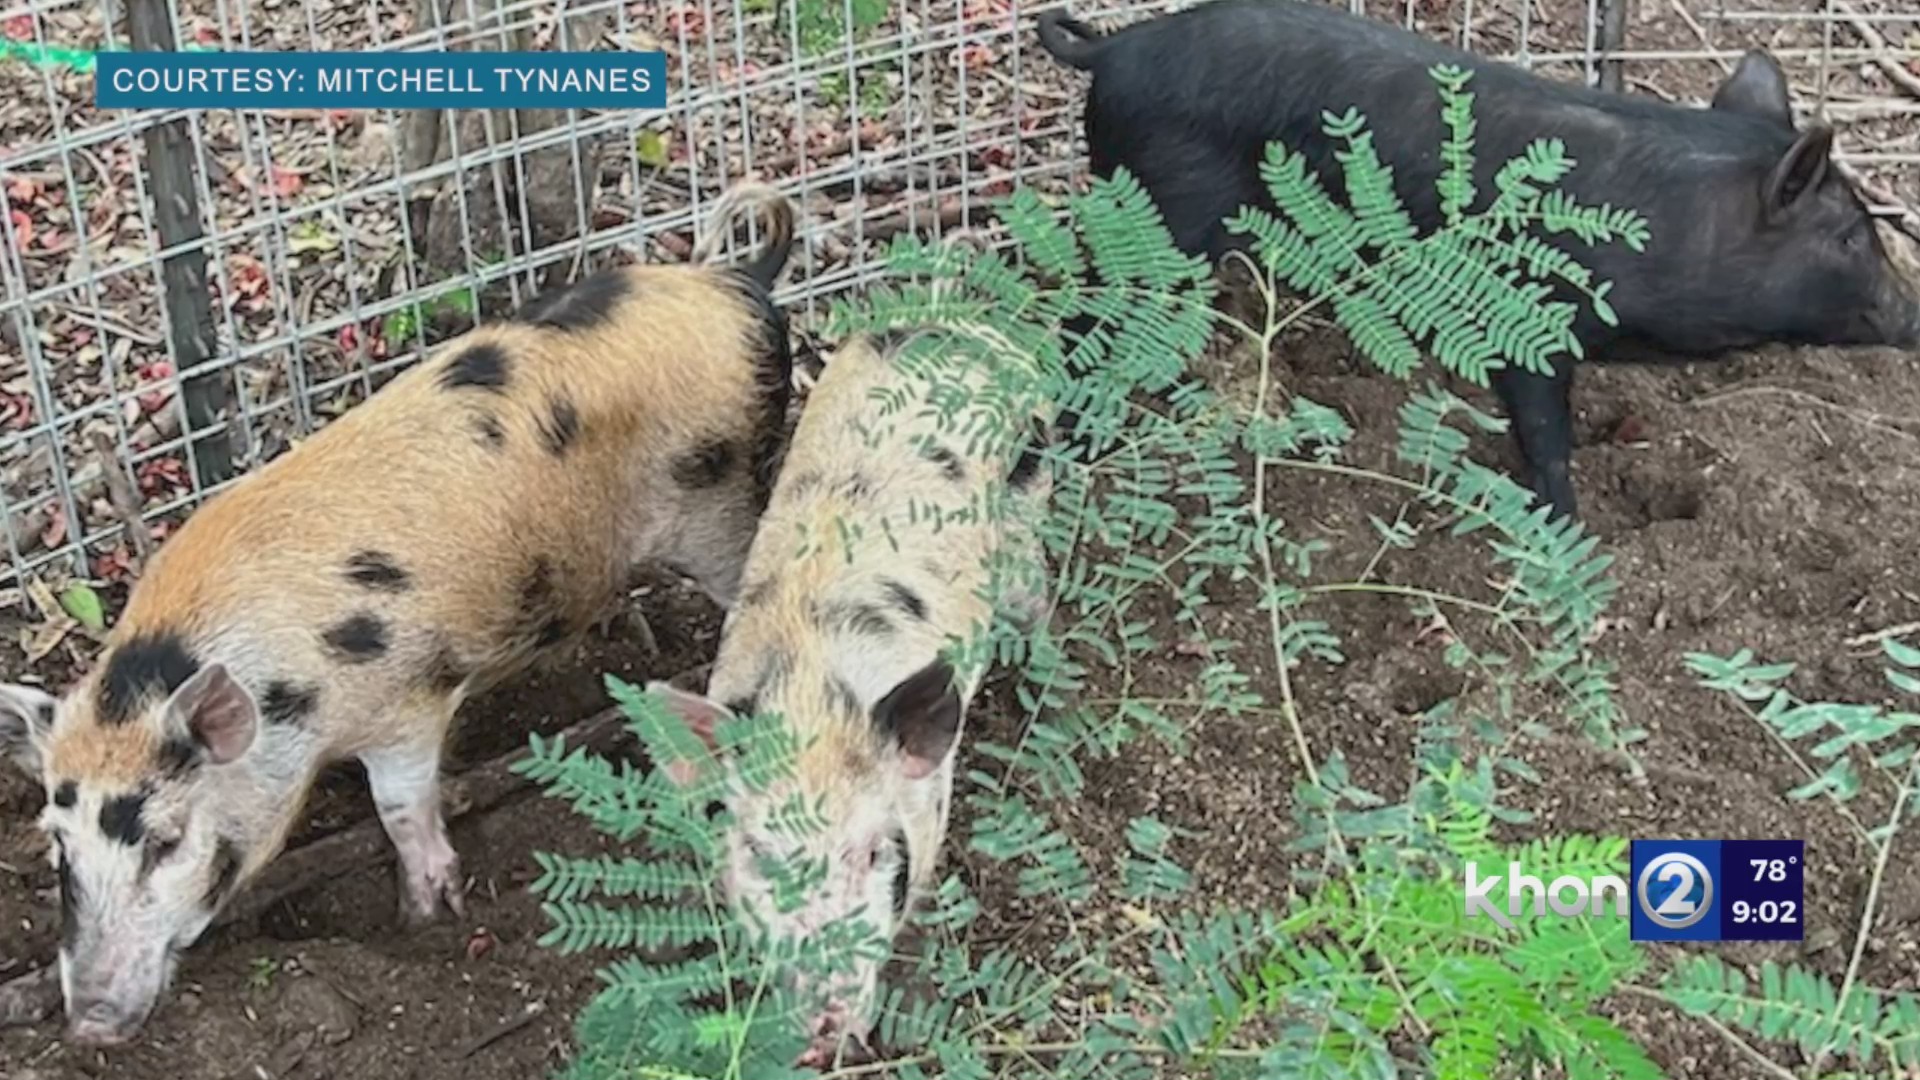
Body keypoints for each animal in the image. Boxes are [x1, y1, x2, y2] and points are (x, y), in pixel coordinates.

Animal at [0, 182, 798, 1046]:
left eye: (166, 841)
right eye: (58, 847)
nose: (89, 1022)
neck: (291, 694)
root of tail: (736, 281)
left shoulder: (410, 702)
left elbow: (402, 806)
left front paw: (424, 915)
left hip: (721, 506)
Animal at [648, 329, 1053, 1067]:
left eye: (871, 853)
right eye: (759, 853)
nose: (821, 1030)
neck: (814, 703)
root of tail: (967, 327)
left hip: (1027, 506)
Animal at [1036, 0, 1920, 519]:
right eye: (1849, 236)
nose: (1913, 311)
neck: (1677, 224)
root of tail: (1110, 52)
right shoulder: (1531, 310)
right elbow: (1543, 430)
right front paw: (1565, 527)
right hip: (1157, 211)